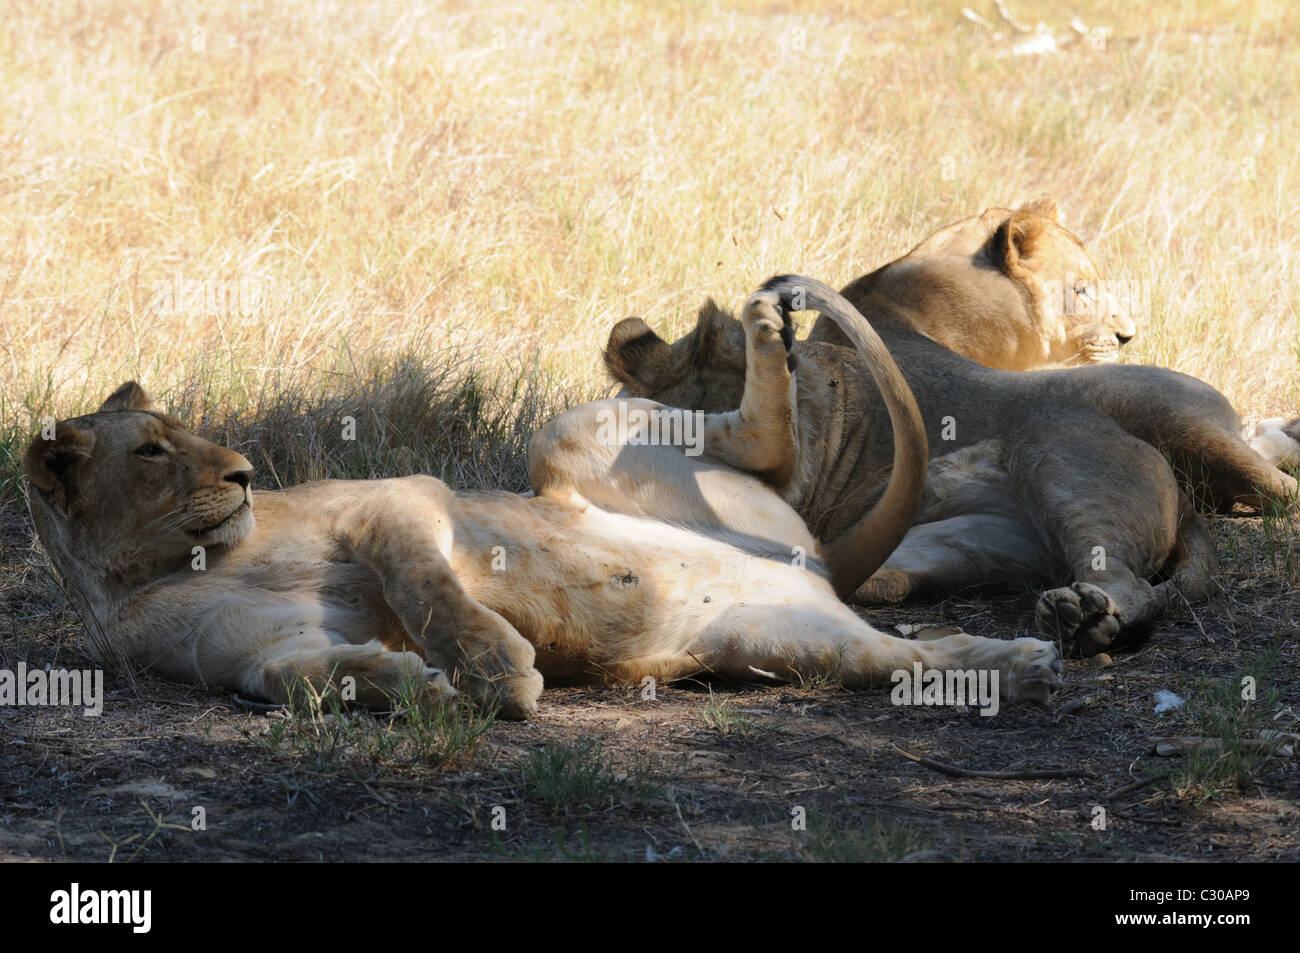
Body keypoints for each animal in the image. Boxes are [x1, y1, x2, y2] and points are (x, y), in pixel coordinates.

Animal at [23, 283, 1064, 718]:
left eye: (192, 433)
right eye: (153, 449)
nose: (243, 471)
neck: (165, 565)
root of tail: (807, 563)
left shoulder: (394, 500)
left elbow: (424, 587)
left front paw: (493, 669)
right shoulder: (252, 655)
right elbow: (308, 676)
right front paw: (416, 687)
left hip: (571, 435)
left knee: (762, 439)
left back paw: (767, 324)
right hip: (786, 644)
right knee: (906, 658)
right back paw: (1017, 663)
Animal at [604, 275, 1299, 659]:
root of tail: (1181, 496)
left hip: (1059, 453)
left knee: (1129, 583)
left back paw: (1079, 617)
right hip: (964, 542)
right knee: (891, 579)